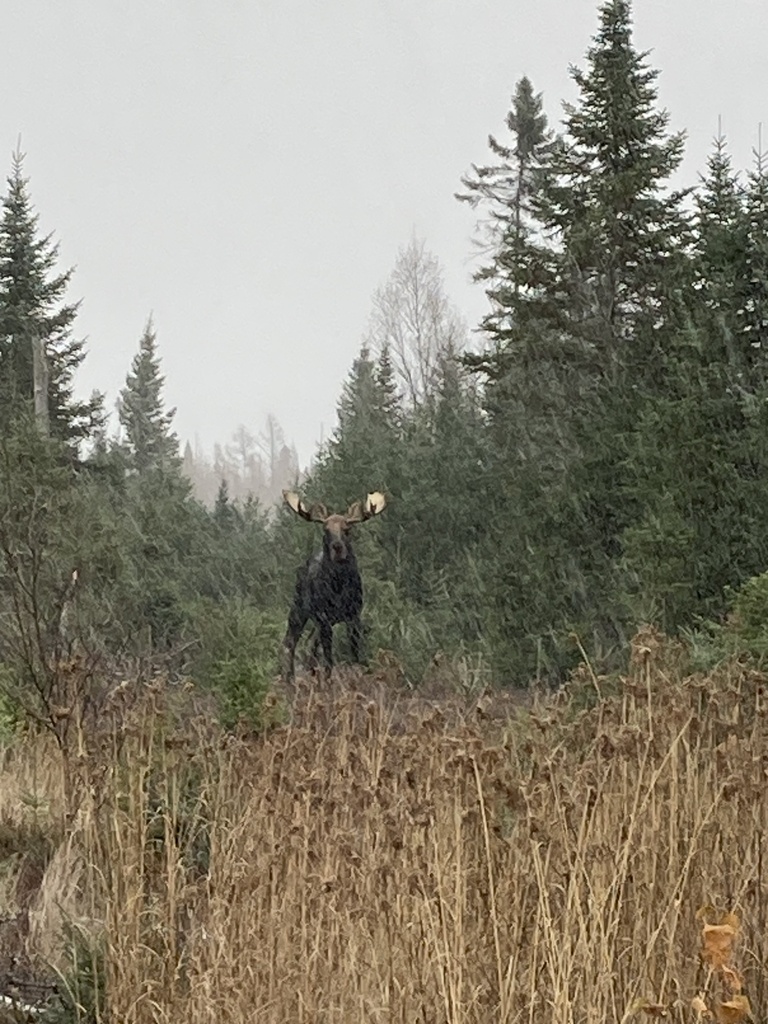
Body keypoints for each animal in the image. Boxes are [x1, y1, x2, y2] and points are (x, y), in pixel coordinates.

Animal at [281, 490, 387, 683]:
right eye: (326, 529)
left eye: (347, 529)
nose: (337, 547)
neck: (338, 587)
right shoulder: (323, 617)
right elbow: (329, 661)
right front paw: (328, 681)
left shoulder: (353, 614)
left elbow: (356, 655)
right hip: (298, 608)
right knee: (289, 642)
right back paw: (290, 679)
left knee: (310, 643)